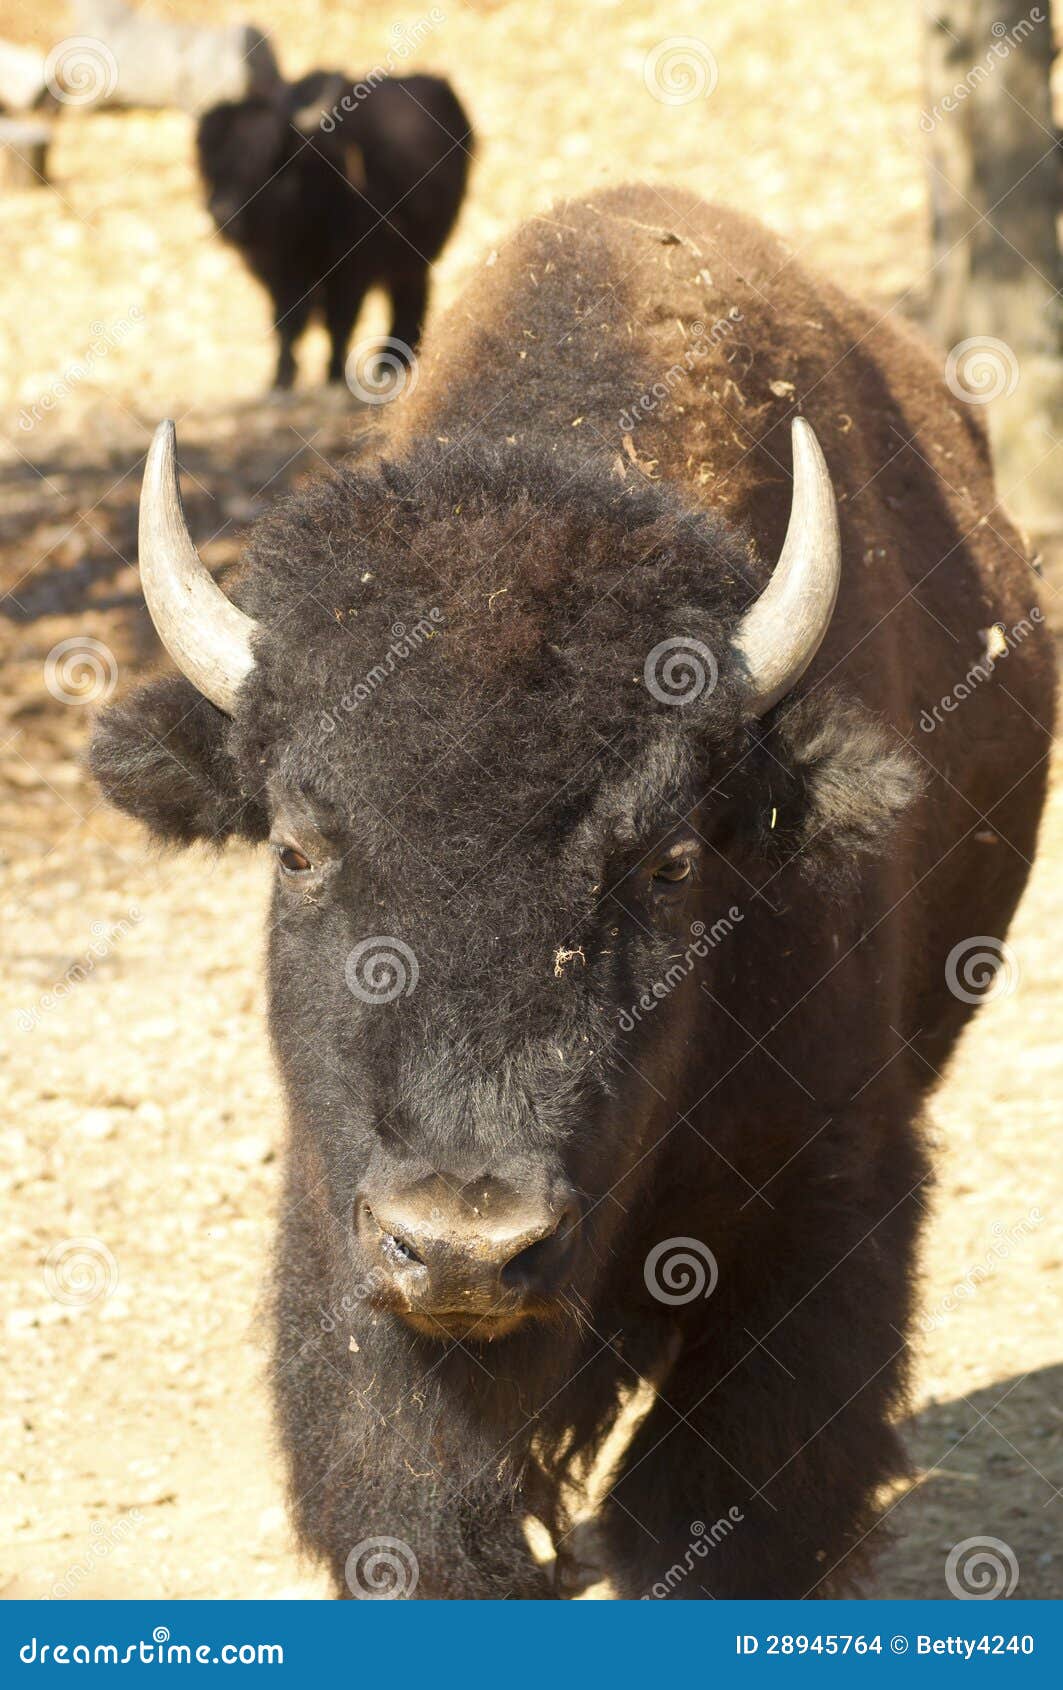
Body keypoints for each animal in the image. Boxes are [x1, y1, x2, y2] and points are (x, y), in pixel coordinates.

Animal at [195, 70, 472, 391]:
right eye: (209, 163)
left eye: (264, 157)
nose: (221, 212)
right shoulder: (277, 274)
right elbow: (287, 322)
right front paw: (282, 377)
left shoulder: (351, 270)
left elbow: (339, 322)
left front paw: (334, 373)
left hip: (415, 258)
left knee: (409, 300)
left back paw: (391, 360)